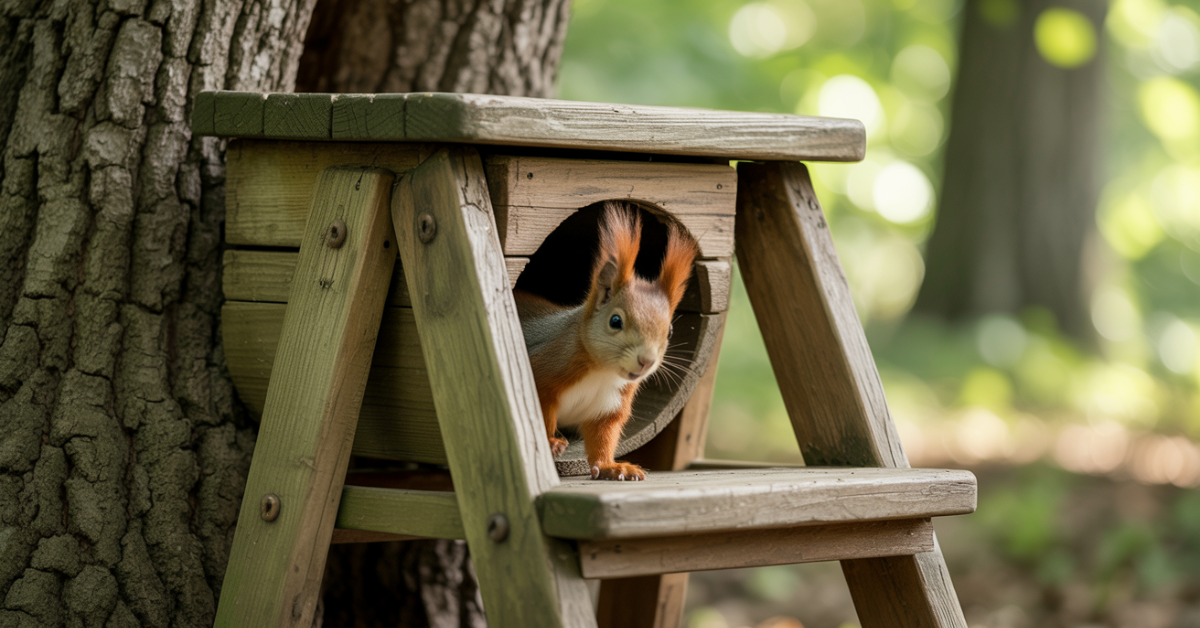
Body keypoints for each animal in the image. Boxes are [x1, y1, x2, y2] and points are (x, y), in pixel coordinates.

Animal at [514, 202, 698, 481]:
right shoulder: (546, 370)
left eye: (670, 331)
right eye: (615, 321)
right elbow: (541, 414)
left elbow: (603, 437)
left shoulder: (610, 406)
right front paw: (549, 441)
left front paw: (613, 467)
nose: (646, 361)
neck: (603, 373)